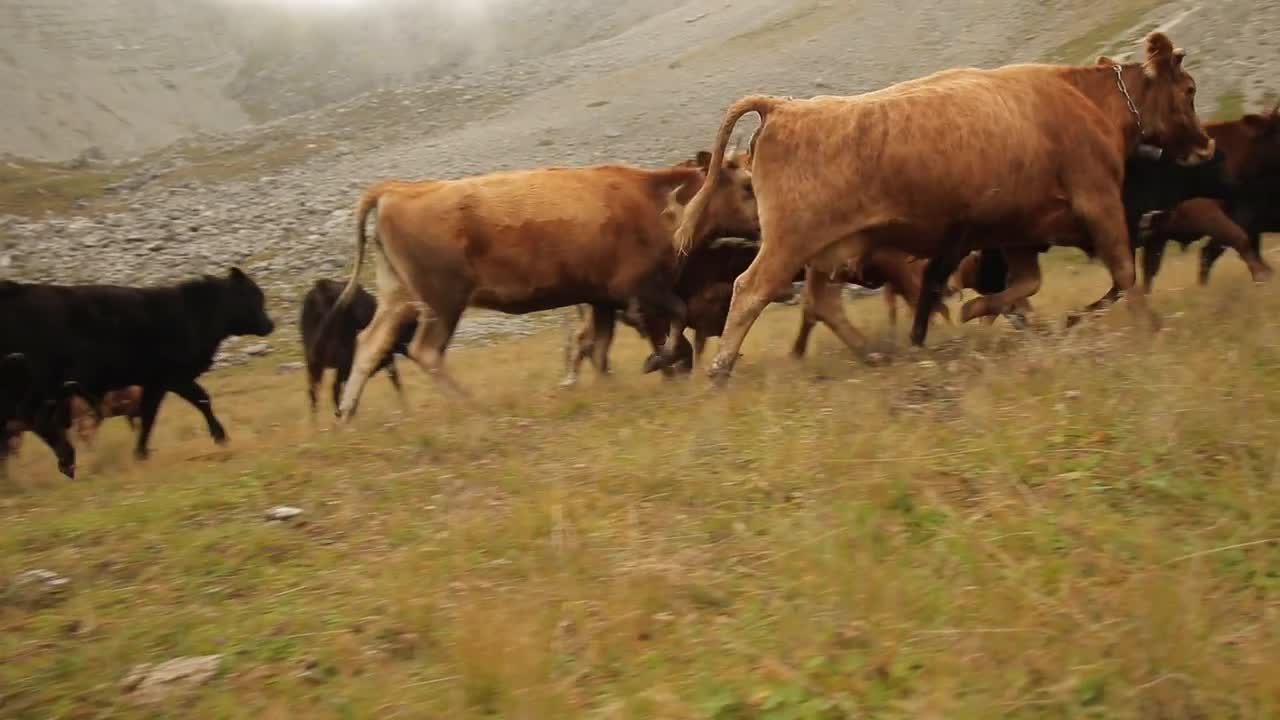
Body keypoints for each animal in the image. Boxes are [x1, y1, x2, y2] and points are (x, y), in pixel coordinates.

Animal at [0, 267, 275, 478]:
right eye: (254, 297)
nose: (270, 325)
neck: (192, 313)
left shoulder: (164, 381)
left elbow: (171, 408)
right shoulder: (169, 378)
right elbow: (180, 406)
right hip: (37, 386)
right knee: (37, 422)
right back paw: (66, 462)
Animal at [315, 150, 759, 421]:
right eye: (746, 185)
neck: (656, 200)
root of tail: (399, 188)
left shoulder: (600, 298)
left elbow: (599, 347)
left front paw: (607, 387)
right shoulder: (642, 288)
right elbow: (675, 322)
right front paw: (658, 361)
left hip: (400, 297)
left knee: (369, 344)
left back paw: (345, 414)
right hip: (442, 299)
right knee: (425, 350)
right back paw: (468, 404)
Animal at [672, 33, 1249, 385]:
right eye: (1189, 88)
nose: (1206, 146)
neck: (1083, 98)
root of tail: (783, 107)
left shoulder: (1020, 230)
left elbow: (1026, 286)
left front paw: (979, 310)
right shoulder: (1098, 200)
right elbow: (1124, 272)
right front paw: (1149, 326)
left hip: (824, 251)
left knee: (819, 303)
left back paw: (875, 354)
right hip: (790, 244)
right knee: (751, 292)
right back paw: (720, 371)